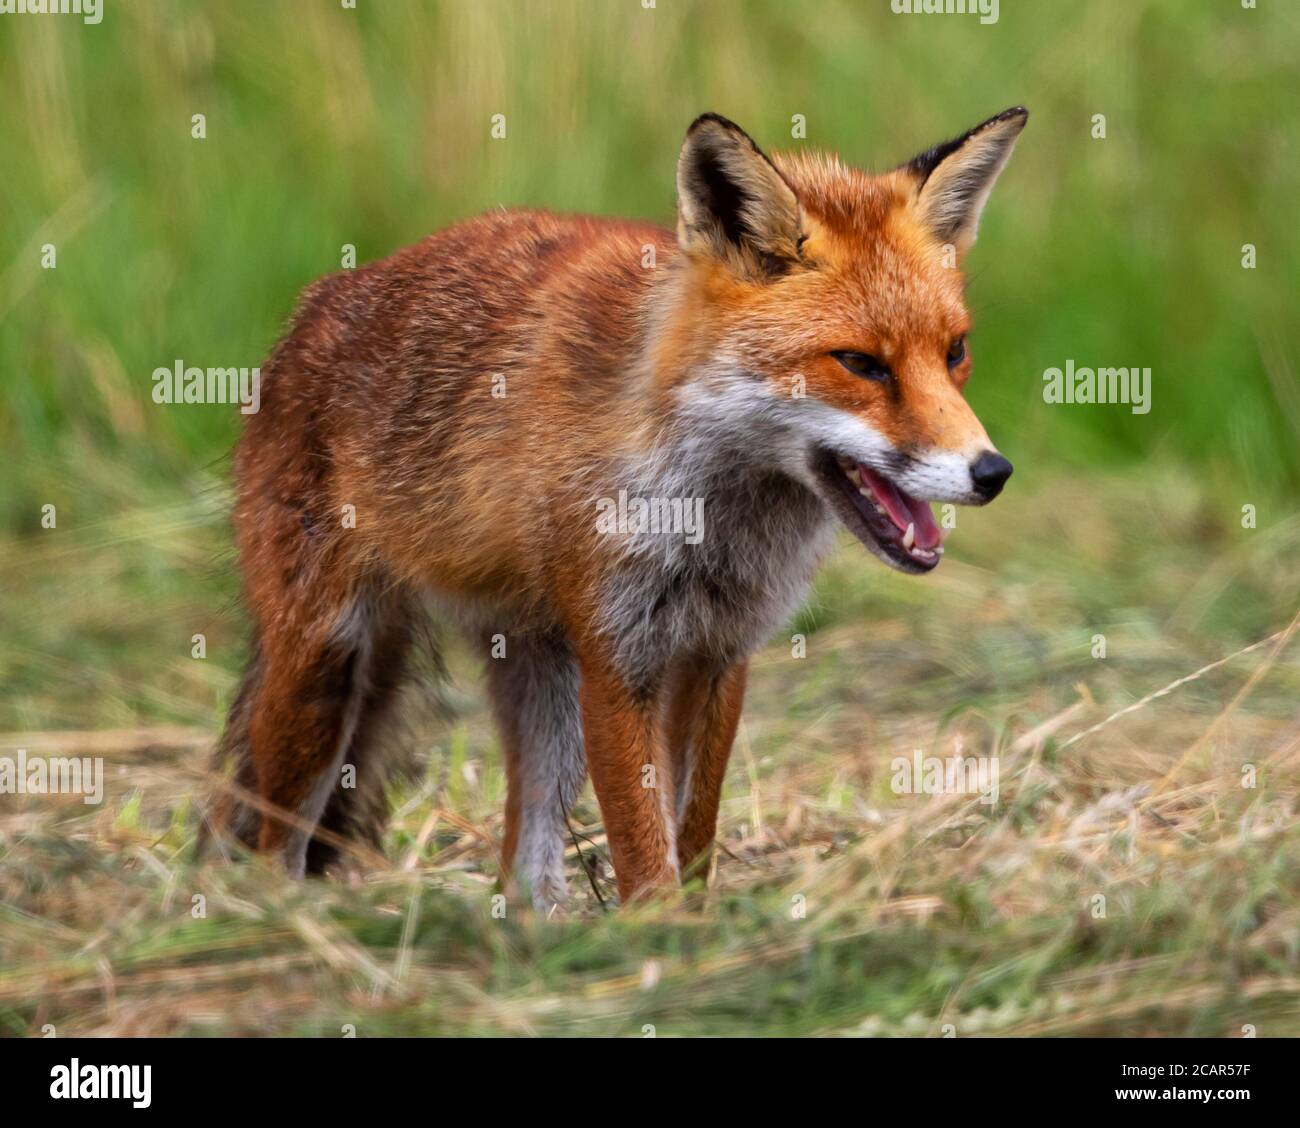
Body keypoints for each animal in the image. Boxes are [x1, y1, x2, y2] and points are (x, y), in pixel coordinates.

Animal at [203, 107, 1027, 907]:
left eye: (954, 353)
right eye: (859, 363)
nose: (992, 472)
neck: (710, 516)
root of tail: (313, 308)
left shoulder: (720, 652)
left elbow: (692, 830)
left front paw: (693, 927)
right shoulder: (616, 653)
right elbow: (642, 842)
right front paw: (660, 936)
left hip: (541, 685)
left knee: (524, 859)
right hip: (324, 667)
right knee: (274, 843)